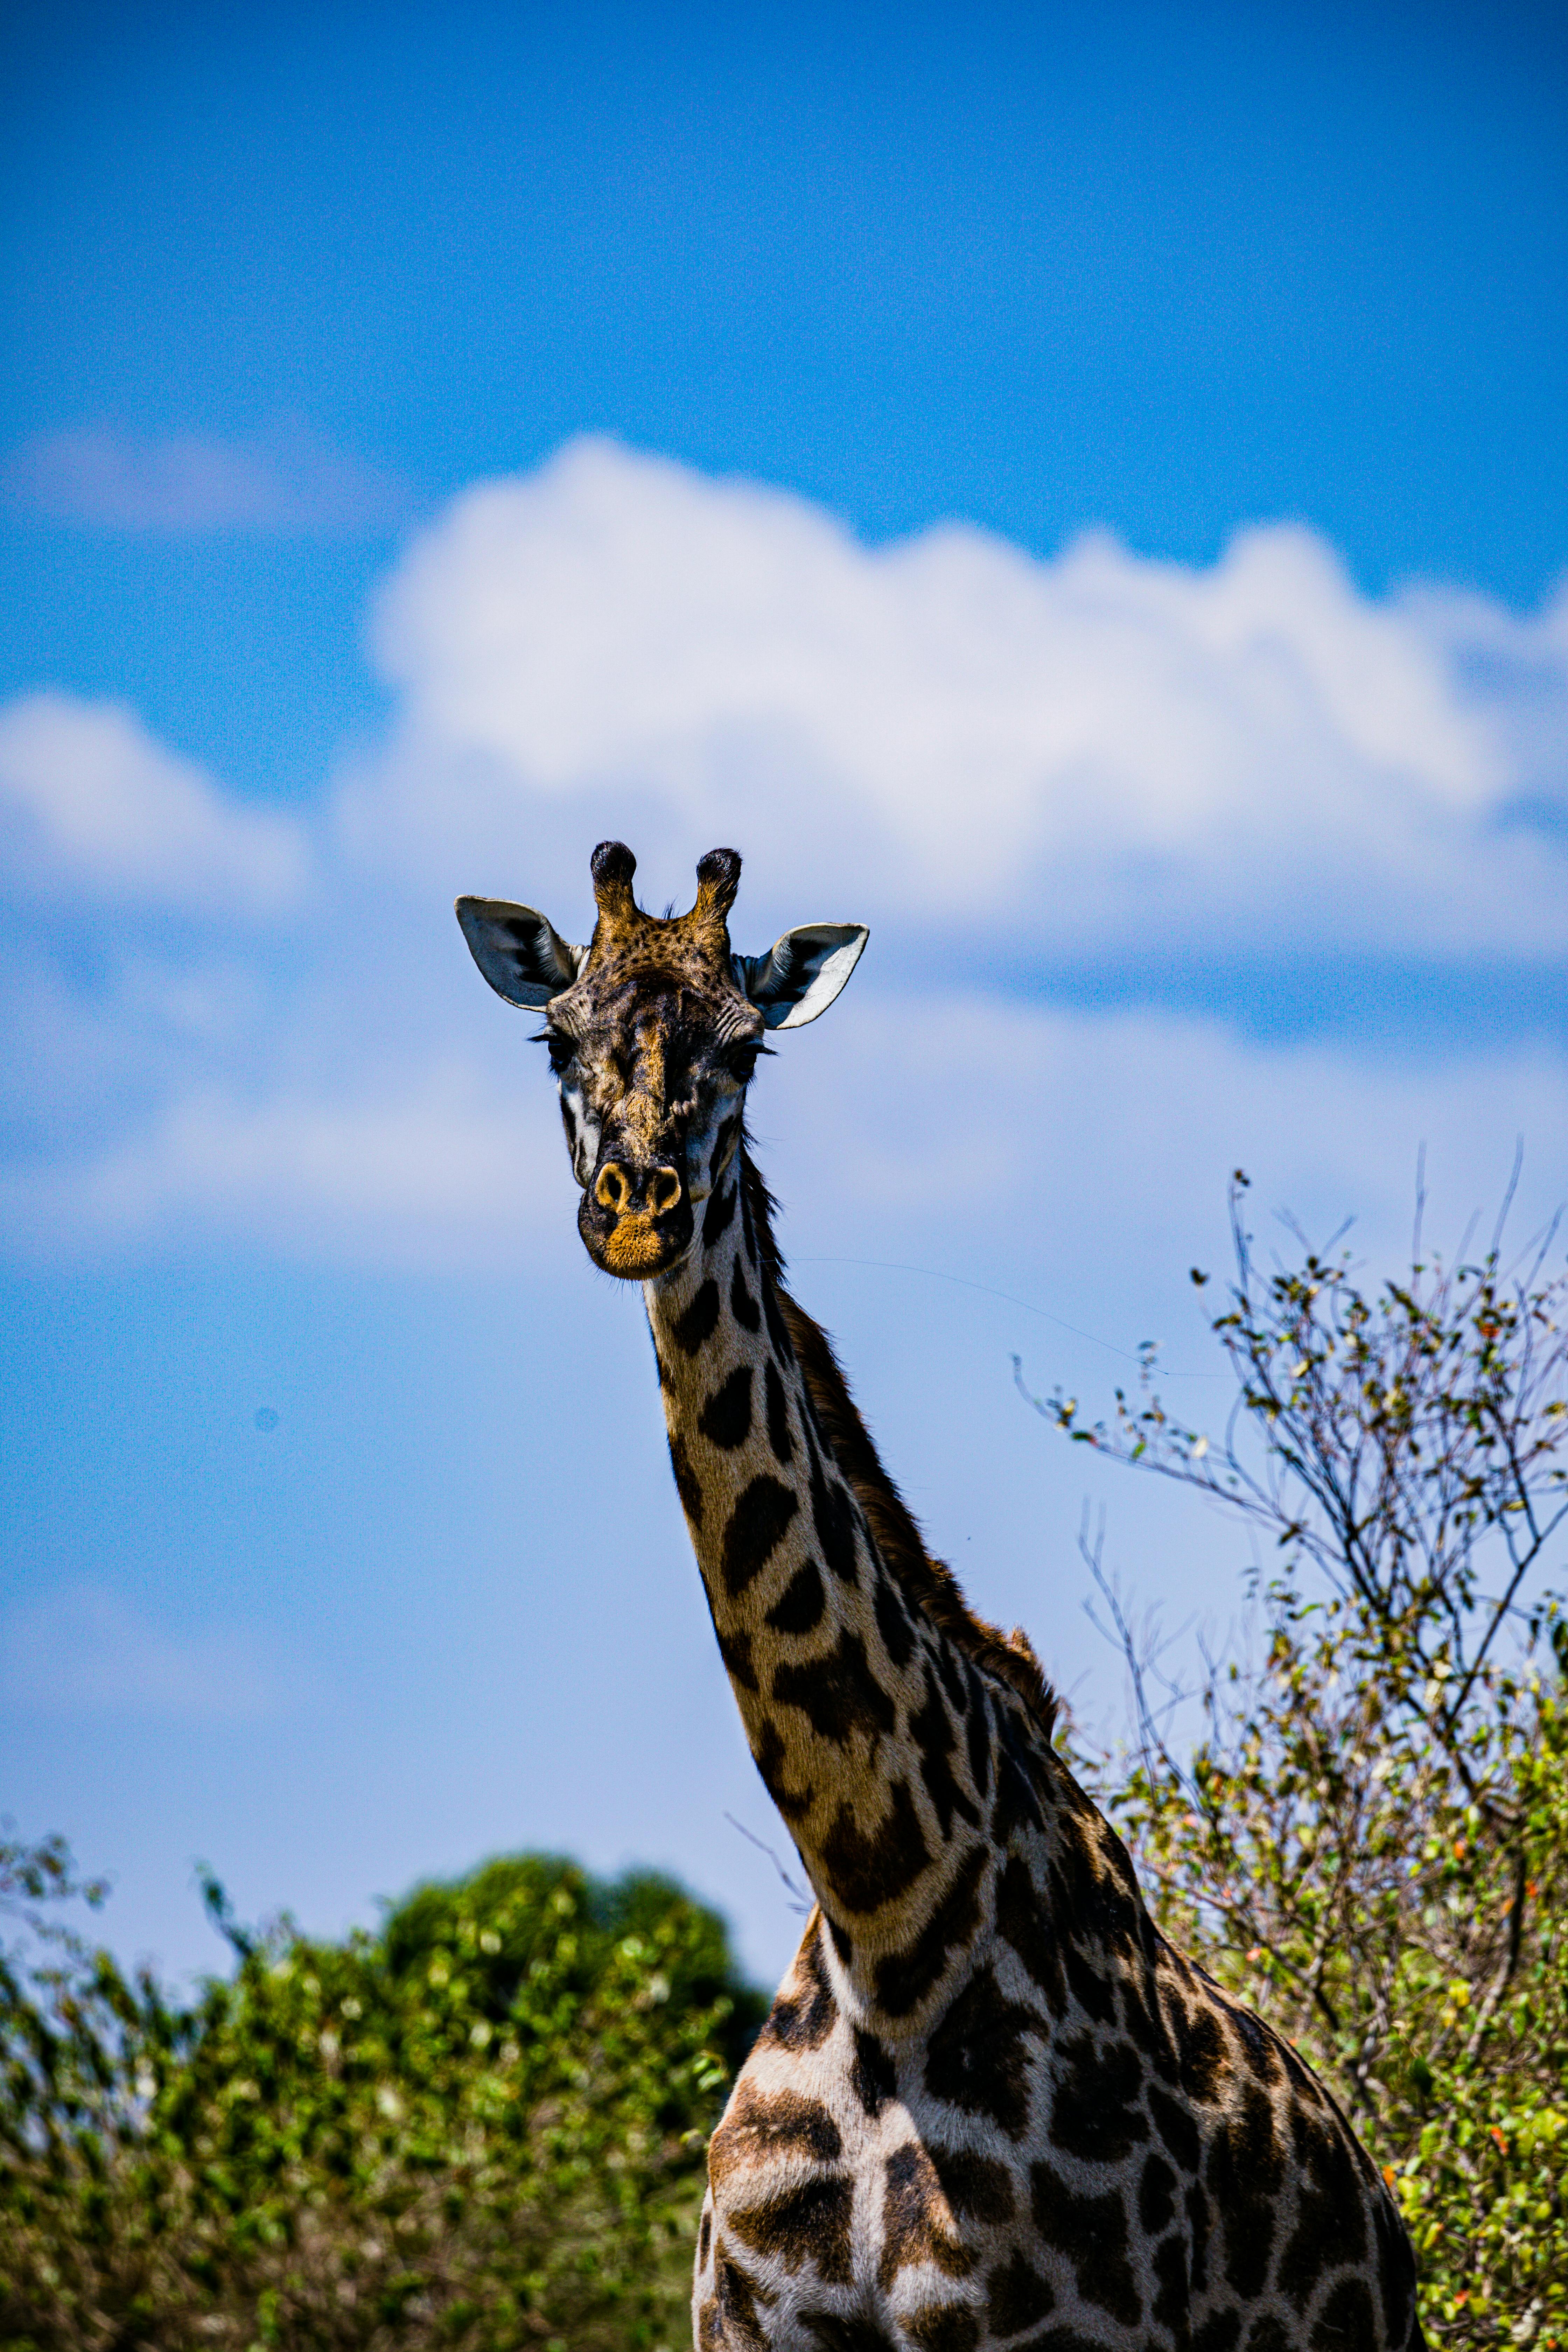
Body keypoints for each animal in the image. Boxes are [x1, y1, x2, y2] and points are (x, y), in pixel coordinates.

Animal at [456, 840, 1425, 2352]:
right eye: (557, 1037)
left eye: (748, 1048)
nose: (635, 1210)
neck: (886, 1920)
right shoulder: (740, 2326)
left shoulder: (1065, 2334)